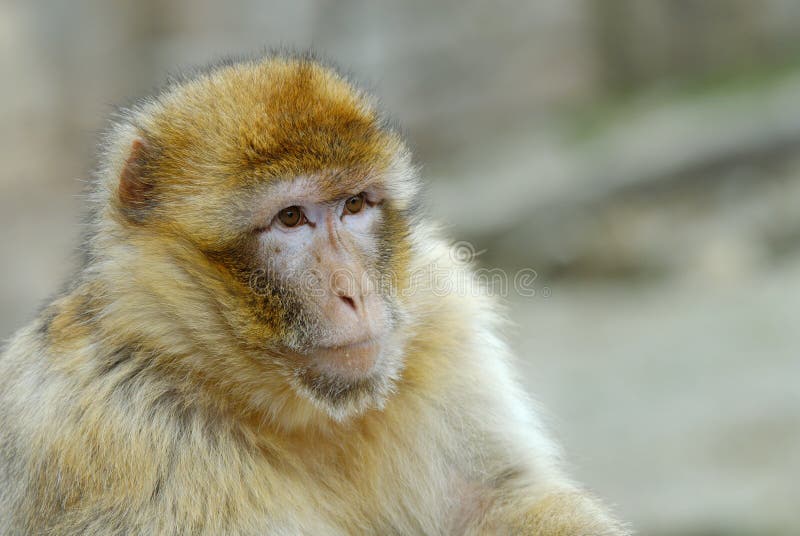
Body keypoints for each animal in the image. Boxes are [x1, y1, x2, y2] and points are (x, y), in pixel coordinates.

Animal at [0, 53, 629, 535]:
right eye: (291, 218)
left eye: (354, 205)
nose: (356, 292)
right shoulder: (117, 438)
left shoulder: (443, 326)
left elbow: (503, 498)